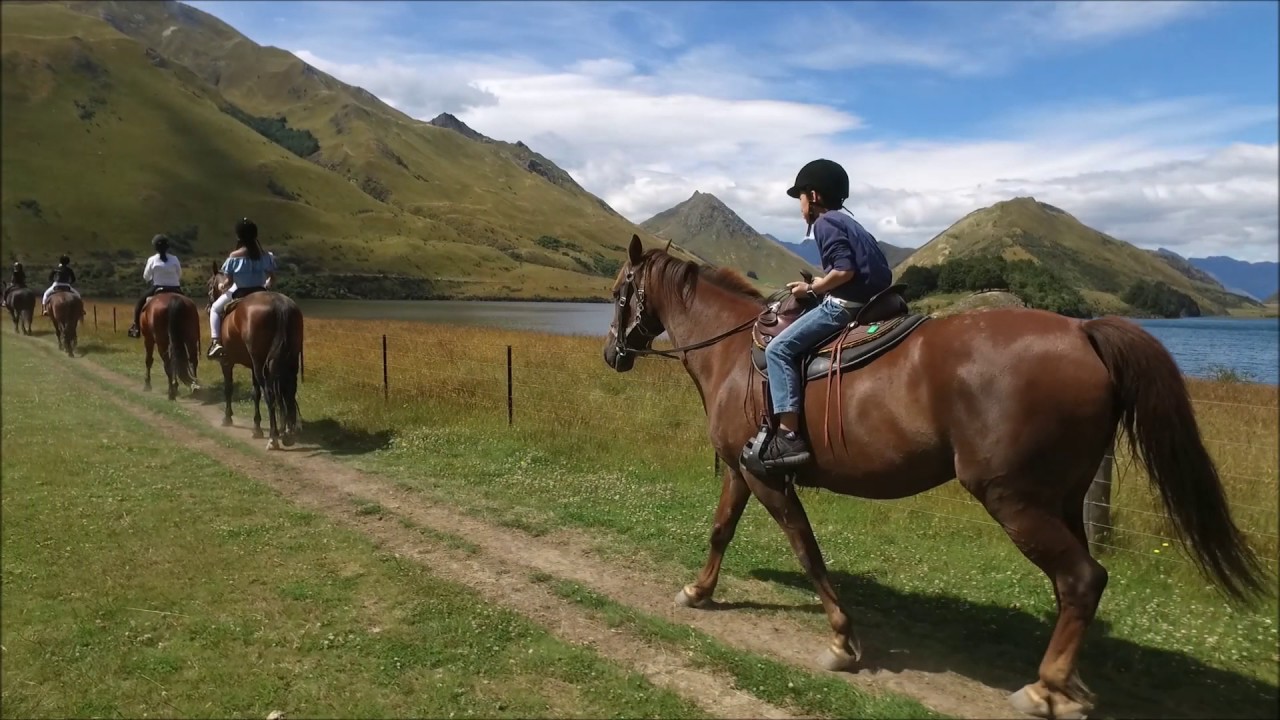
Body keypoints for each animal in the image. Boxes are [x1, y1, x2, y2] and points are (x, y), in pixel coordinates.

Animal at [204, 266, 304, 450]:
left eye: (209, 284)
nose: (209, 307)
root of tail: (280, 305)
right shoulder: (252, 365)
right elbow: (255, 393)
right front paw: (257, 428)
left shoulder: (227, 363)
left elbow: (228, 388)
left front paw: (227, 418)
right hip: (289, 361)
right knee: (288, 392)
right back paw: (287, 434)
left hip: (261, 365)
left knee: (270, 395)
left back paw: (273, 437)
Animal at [602, 235, 1267, 720]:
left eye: (617, 291)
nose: (612, 353)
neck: (736, 352)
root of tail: (1082, 330)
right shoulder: (745, 469)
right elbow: (721, 530)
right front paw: (699, 591)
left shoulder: (769, 478)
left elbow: (806, 550)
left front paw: (843, 640)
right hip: (1061, 498)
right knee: (1074, 584)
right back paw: (1069, 682)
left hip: (1013, 498)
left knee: (1082, 578)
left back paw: (1045, 688)